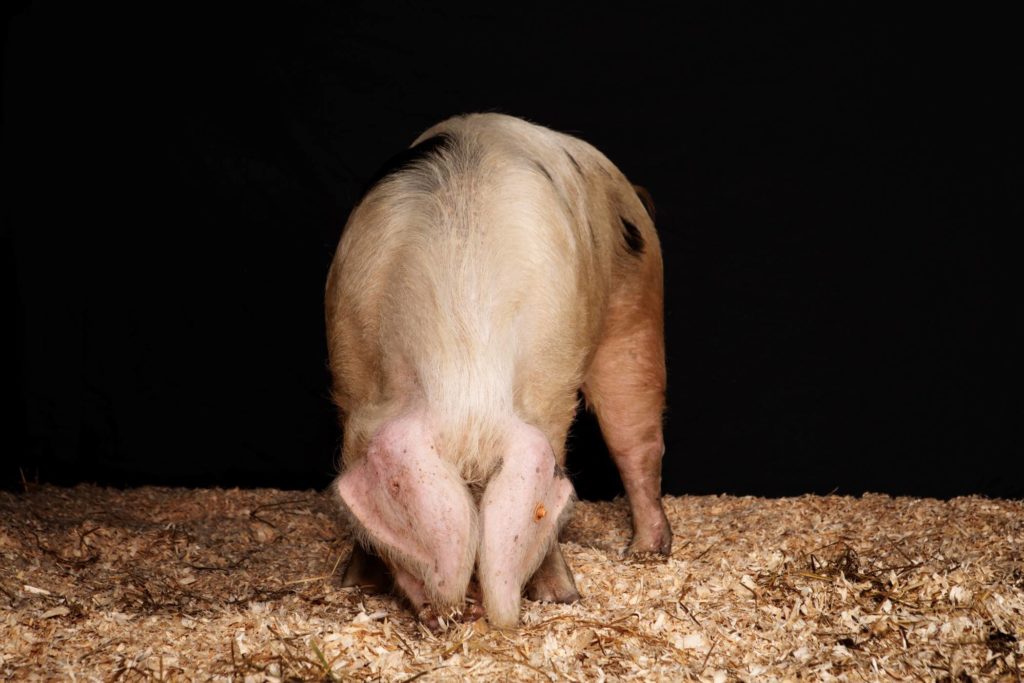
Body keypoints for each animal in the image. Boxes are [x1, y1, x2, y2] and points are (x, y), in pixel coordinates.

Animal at [325, 113, 671, 628]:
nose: (466, 607)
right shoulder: (351, 380)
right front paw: (355, 586)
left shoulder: (552, 392)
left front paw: (561, 598)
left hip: (637, 310)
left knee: (637, 440)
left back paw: (646, 553)